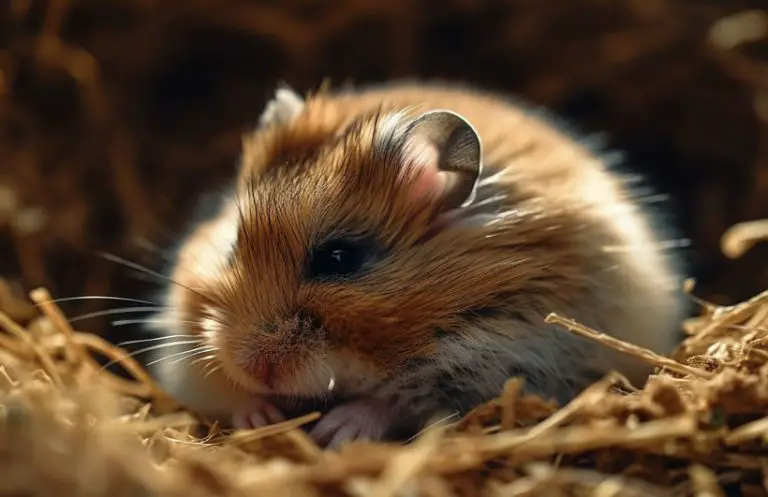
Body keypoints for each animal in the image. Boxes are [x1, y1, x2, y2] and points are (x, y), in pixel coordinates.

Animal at [148, 81, 687, 448]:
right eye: (232, 245)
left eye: (340, 258)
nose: (254, 368)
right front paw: (258, 415)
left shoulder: (517, 354)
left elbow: (399, 398)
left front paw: (336, 429)